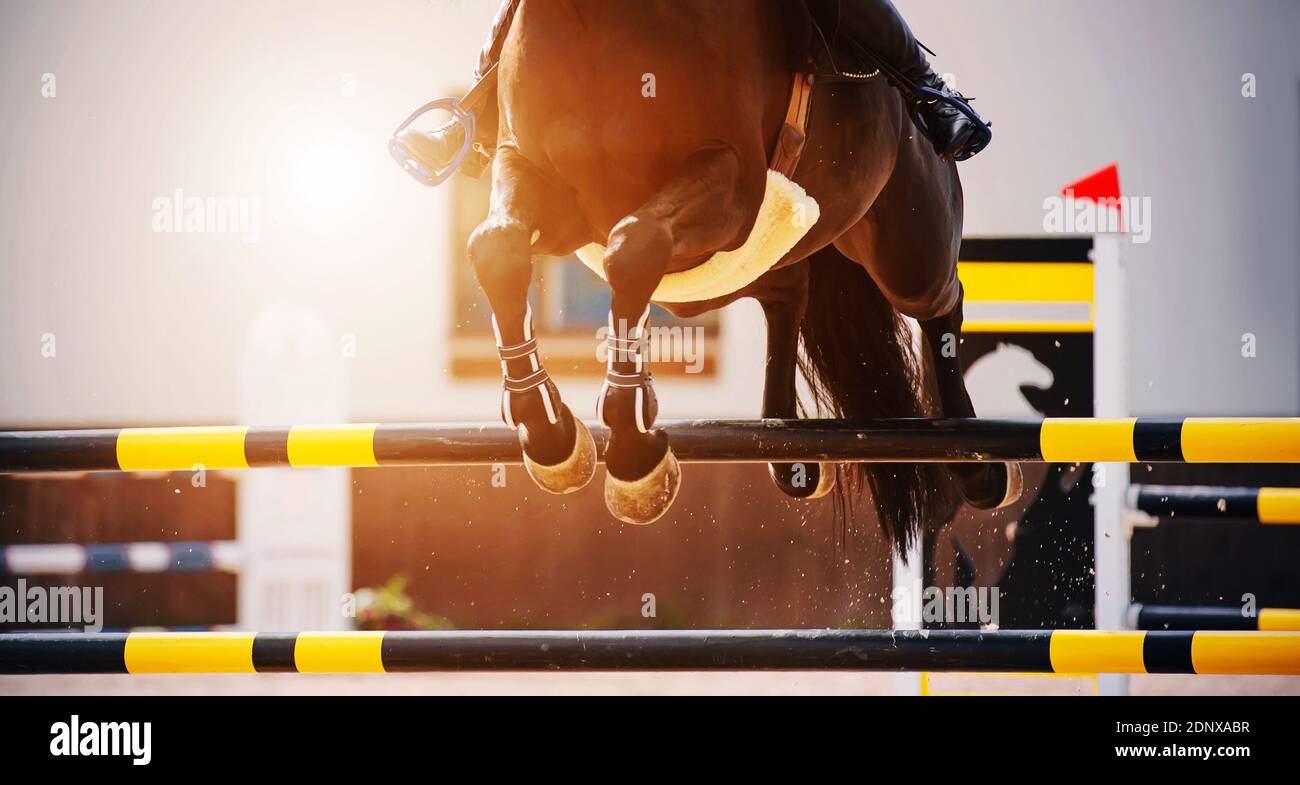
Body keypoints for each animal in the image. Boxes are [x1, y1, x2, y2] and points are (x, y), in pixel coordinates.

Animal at [465, 0, 1021, 551]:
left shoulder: (731, 180)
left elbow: (633, 247)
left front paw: (633, 452)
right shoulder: (540, 178)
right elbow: (497, 248)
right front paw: (547, 432)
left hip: (907, 250)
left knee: (941, 301)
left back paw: (978, 465)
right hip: (719, 275)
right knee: (787, 288)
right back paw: (788, 447)